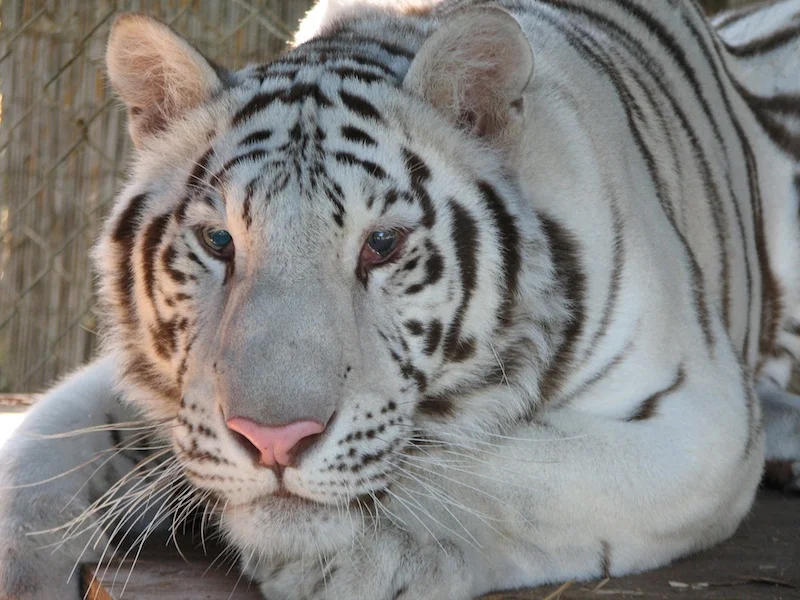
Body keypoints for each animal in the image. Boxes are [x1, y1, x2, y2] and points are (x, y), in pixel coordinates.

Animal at [2, 0, 800, 598]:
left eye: (381, 245)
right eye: (220, 242)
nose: (272, 441)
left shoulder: (701, 421)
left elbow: (513, 471)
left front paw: (342, 556)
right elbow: (32, 468)